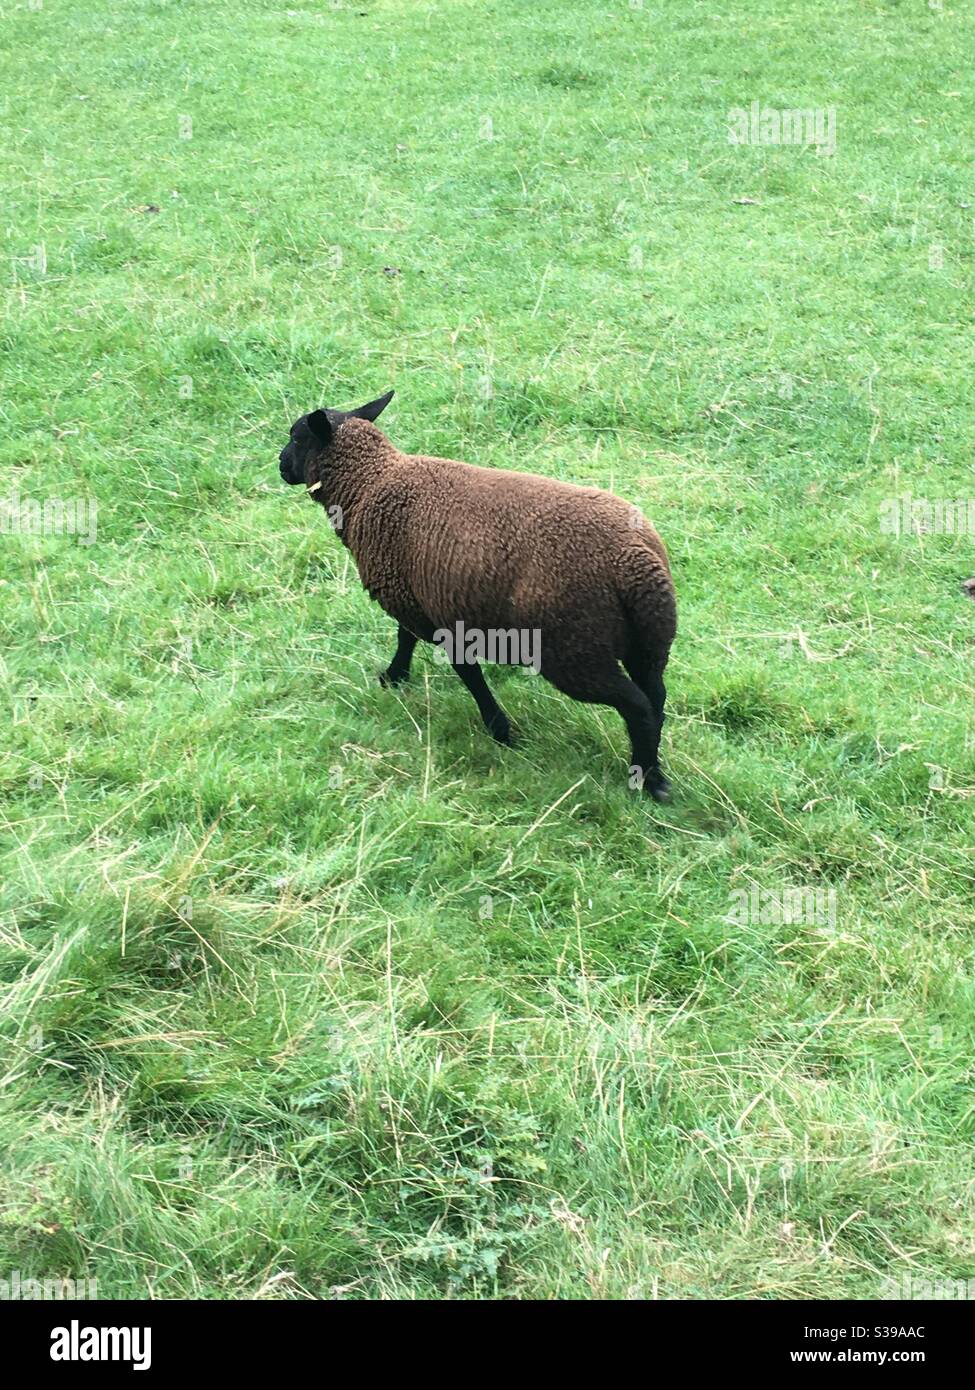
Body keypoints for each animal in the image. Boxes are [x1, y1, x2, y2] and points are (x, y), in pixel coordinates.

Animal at [278, 390, 677, 799]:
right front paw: (395, 677)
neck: (368, 484)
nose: (279, 464)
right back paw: (656, 771)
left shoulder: (439, 612)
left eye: (297, 437)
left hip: (575, 649)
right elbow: (407, 638)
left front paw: (499, 728)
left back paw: (648, 780)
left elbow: (464, 671)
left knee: (638, 706)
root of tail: (636, 562)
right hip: (649, 643)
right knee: (657, 698)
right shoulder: (420, 599)